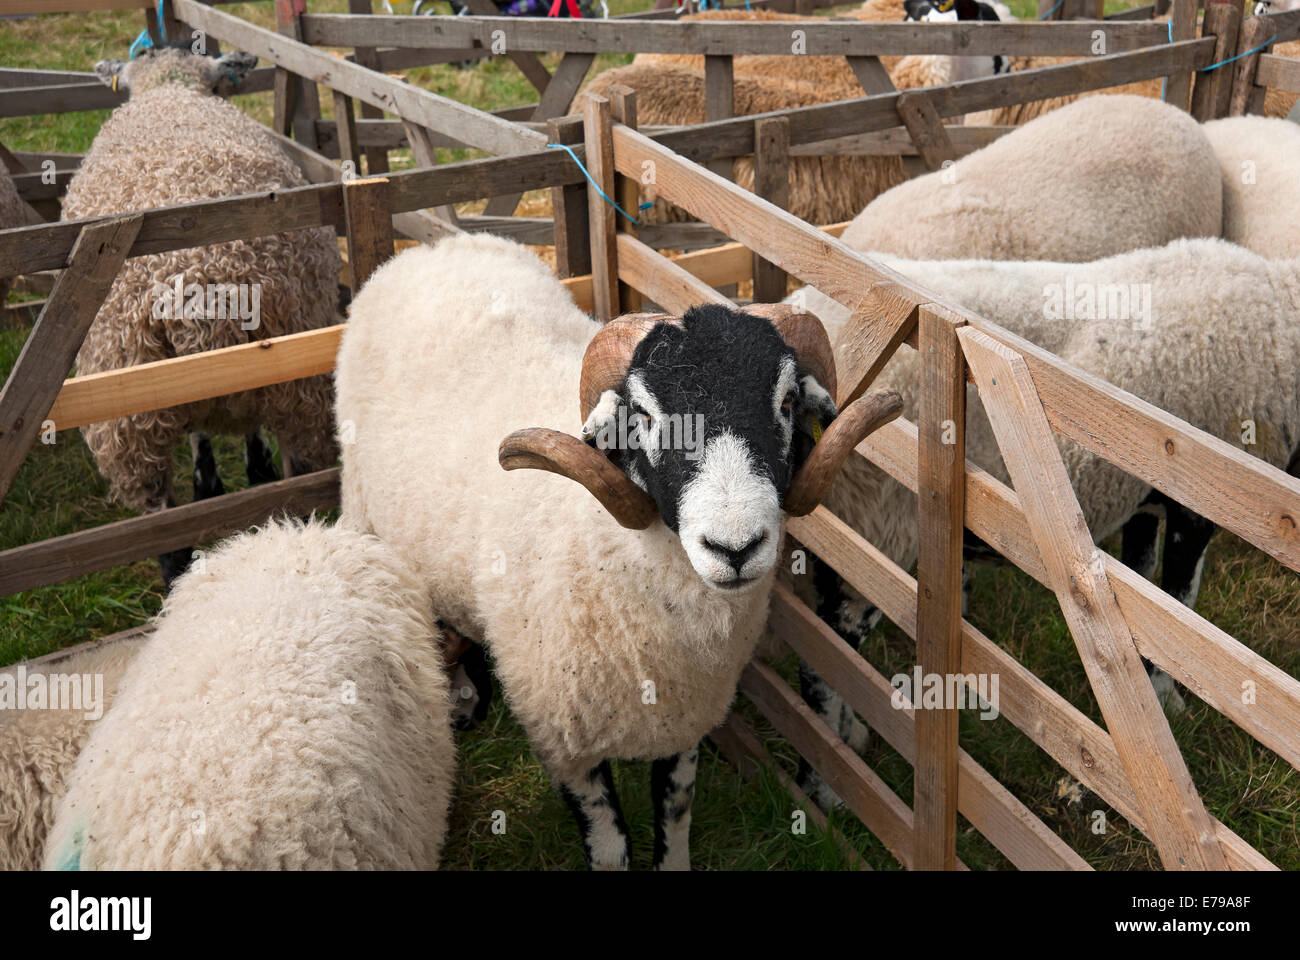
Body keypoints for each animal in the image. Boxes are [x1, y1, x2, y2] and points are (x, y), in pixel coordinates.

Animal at [65, 46, 342, 588]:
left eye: (217, 86)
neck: (171, 89)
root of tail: (197, 282)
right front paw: (225, 477)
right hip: (293, 383)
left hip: (133, 416)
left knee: (169, 538)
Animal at [334, 232, 900, 869]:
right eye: (645, 414)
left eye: (783, 404)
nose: (734, 547)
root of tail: (435, 246)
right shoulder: (565, 741)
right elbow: (609, 848)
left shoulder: (684, 720)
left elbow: (675, 816)